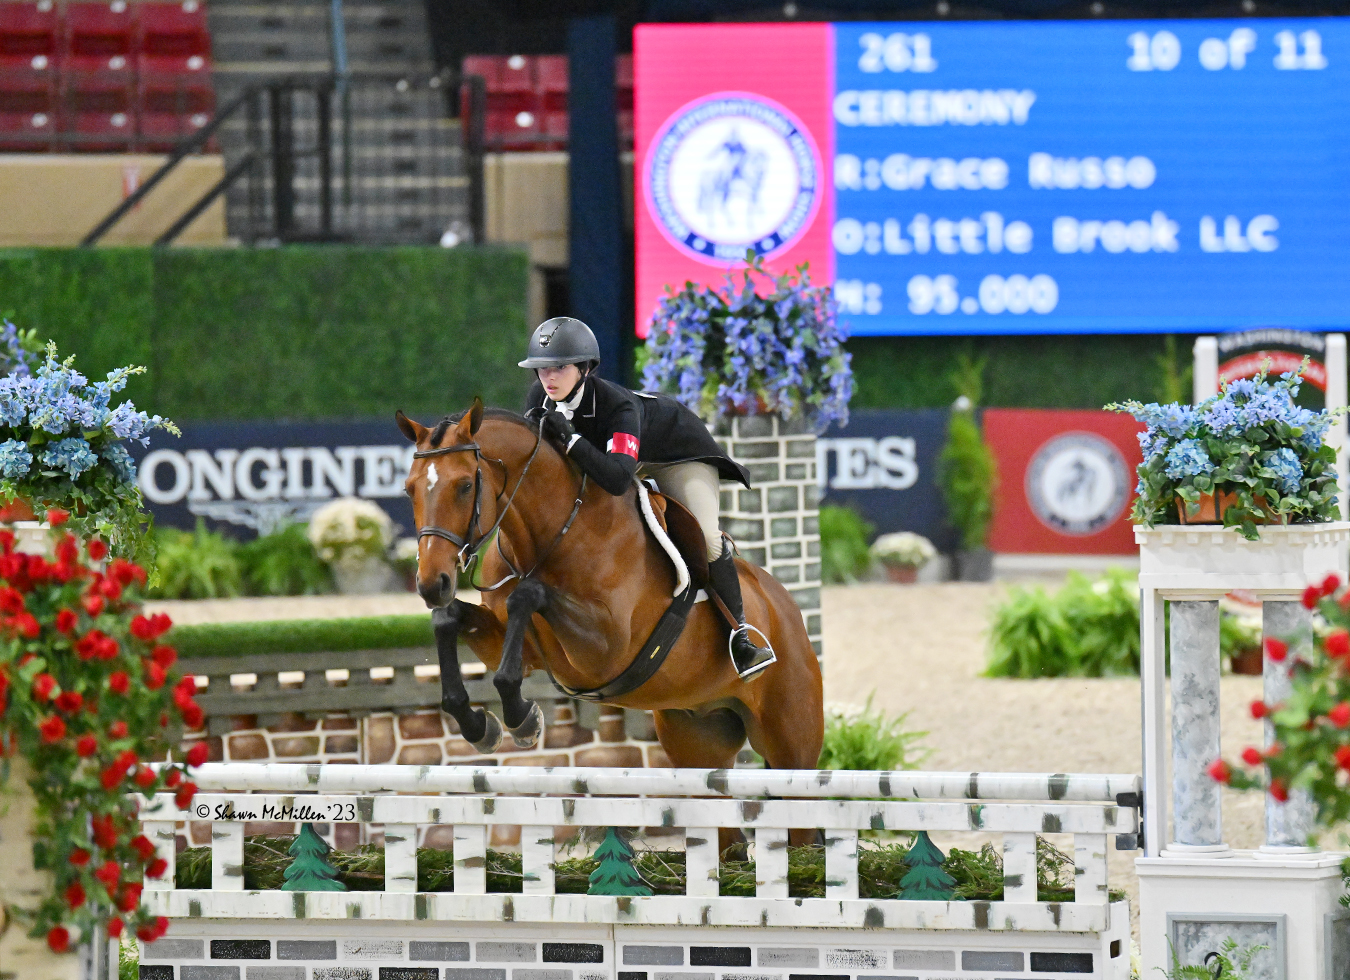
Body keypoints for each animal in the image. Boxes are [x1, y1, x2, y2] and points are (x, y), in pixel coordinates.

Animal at [396, 402, 824, 846]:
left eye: (465, 486)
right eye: (409, 489)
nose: (432, 584)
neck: (553, 532)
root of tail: (784, 605)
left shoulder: (606, 648)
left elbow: (526, 596)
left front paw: (521, 717)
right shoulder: (516, 645)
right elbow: (449, 619)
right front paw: (478, 724)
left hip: (792, 750)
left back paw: (748, 649)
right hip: (699, 744)